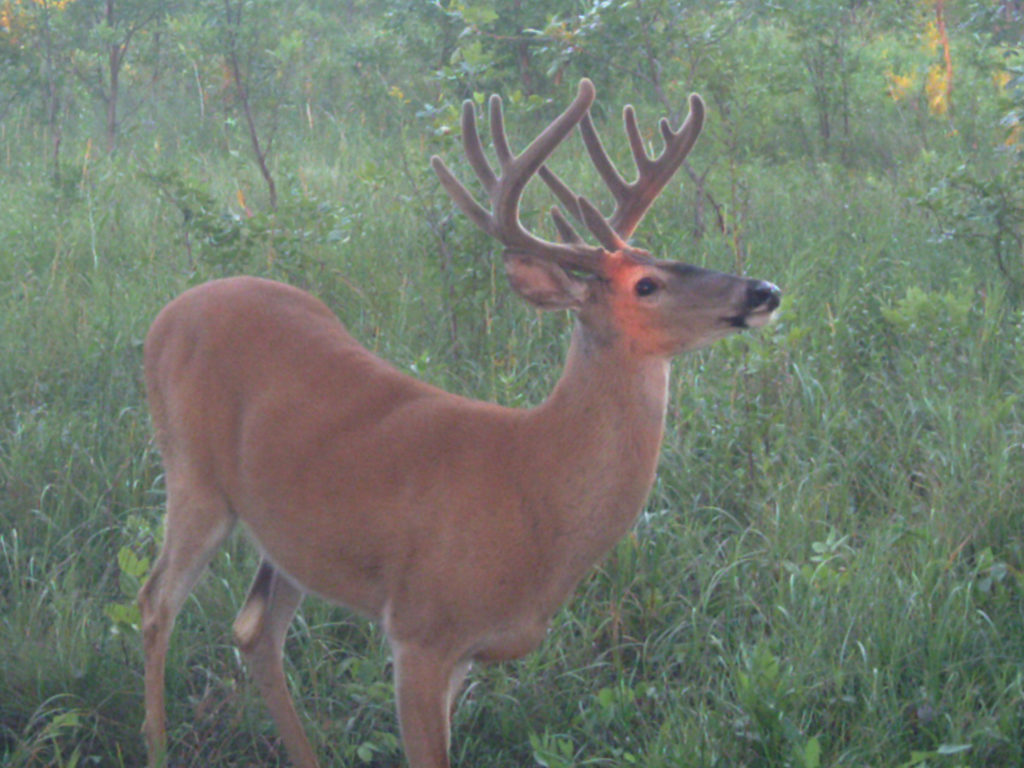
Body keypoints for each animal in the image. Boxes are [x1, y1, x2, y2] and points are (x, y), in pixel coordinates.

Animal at [137, 78, 780, 768]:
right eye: (647, 284)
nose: (763, 291)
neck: (536, 486)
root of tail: (165, 316)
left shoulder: (465, 653)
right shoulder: (420, 628)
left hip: (288, 534)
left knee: (254, 630)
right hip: (193, 476)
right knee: (155, 601)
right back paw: (157, 745)